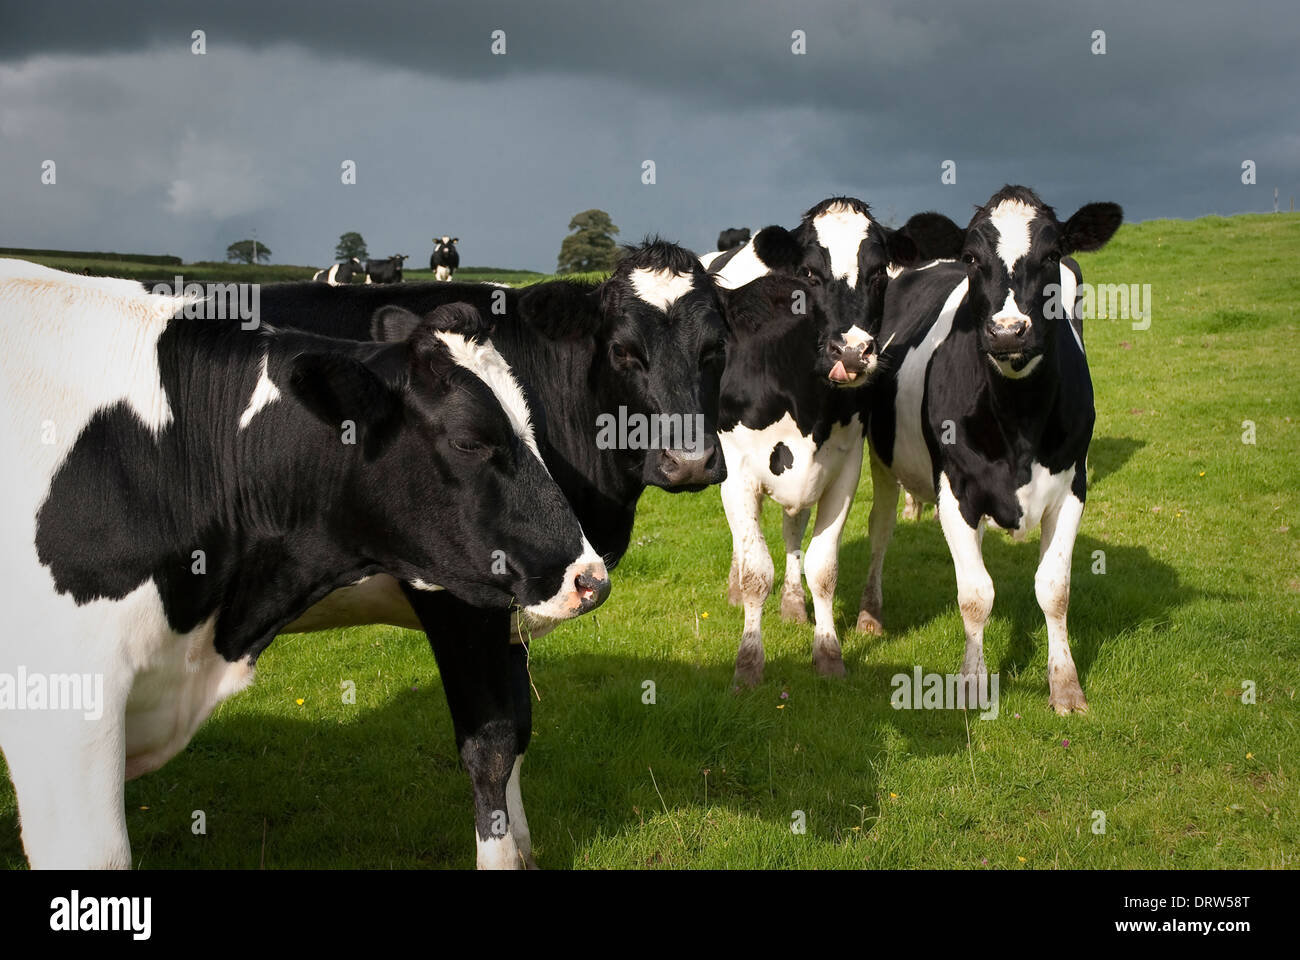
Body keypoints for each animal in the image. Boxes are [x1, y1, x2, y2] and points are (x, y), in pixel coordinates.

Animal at [253, 238, 729, 866]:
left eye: (715, 350)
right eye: (624, 351)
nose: (691, 462)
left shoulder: (527, 597)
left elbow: (520, 727)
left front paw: (522, 844)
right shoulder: (456, 597)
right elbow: (491, 746)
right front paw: (499, 854)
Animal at [709, 198, 962, 686]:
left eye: (880, 272)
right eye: (809, 273)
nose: (850, 353)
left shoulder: (843, 468)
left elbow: (822, 566)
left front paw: (828, 652)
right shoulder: (738, 471)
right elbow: (755, 571)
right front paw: (748, 665)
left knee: (794, 529)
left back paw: (793, 603)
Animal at [857, 185, 1122, 714]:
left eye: (1053, 254)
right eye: (973, 259)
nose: (1007, 331)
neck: (1018, 420)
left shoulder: (1073, 487)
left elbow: (1054, 589)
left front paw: (1066, 686)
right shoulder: (955, 491)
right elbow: (975, 594)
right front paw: (971, 686)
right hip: (882, 460)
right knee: (880, 531)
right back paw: (870, 614)